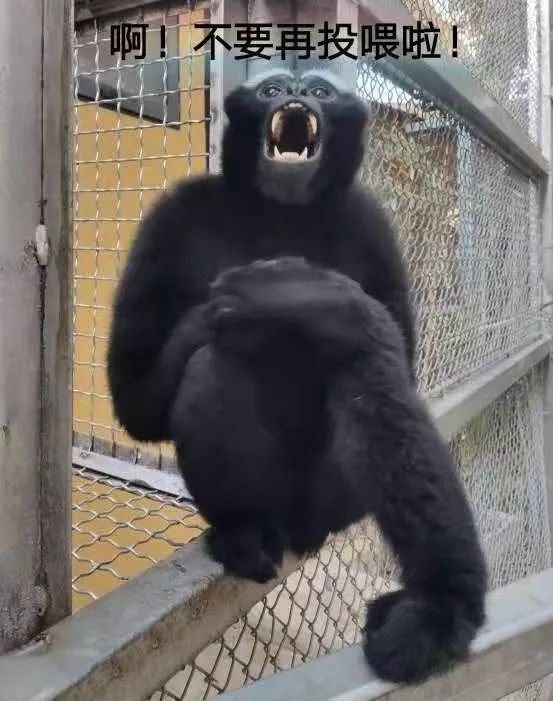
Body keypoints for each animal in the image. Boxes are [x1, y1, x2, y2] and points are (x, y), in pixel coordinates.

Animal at [107, 67, 487, 684]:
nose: (296, 96)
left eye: (321, 92)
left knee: (365, 364)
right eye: (270, 91)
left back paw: (442, 607)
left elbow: (392, 355)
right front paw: (251, 301)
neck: (281, 213)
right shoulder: (170, 217)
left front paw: (297, 296)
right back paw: (245, 530)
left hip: (334, 498)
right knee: (216, 360)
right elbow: (135, 403)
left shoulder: (372, 224)